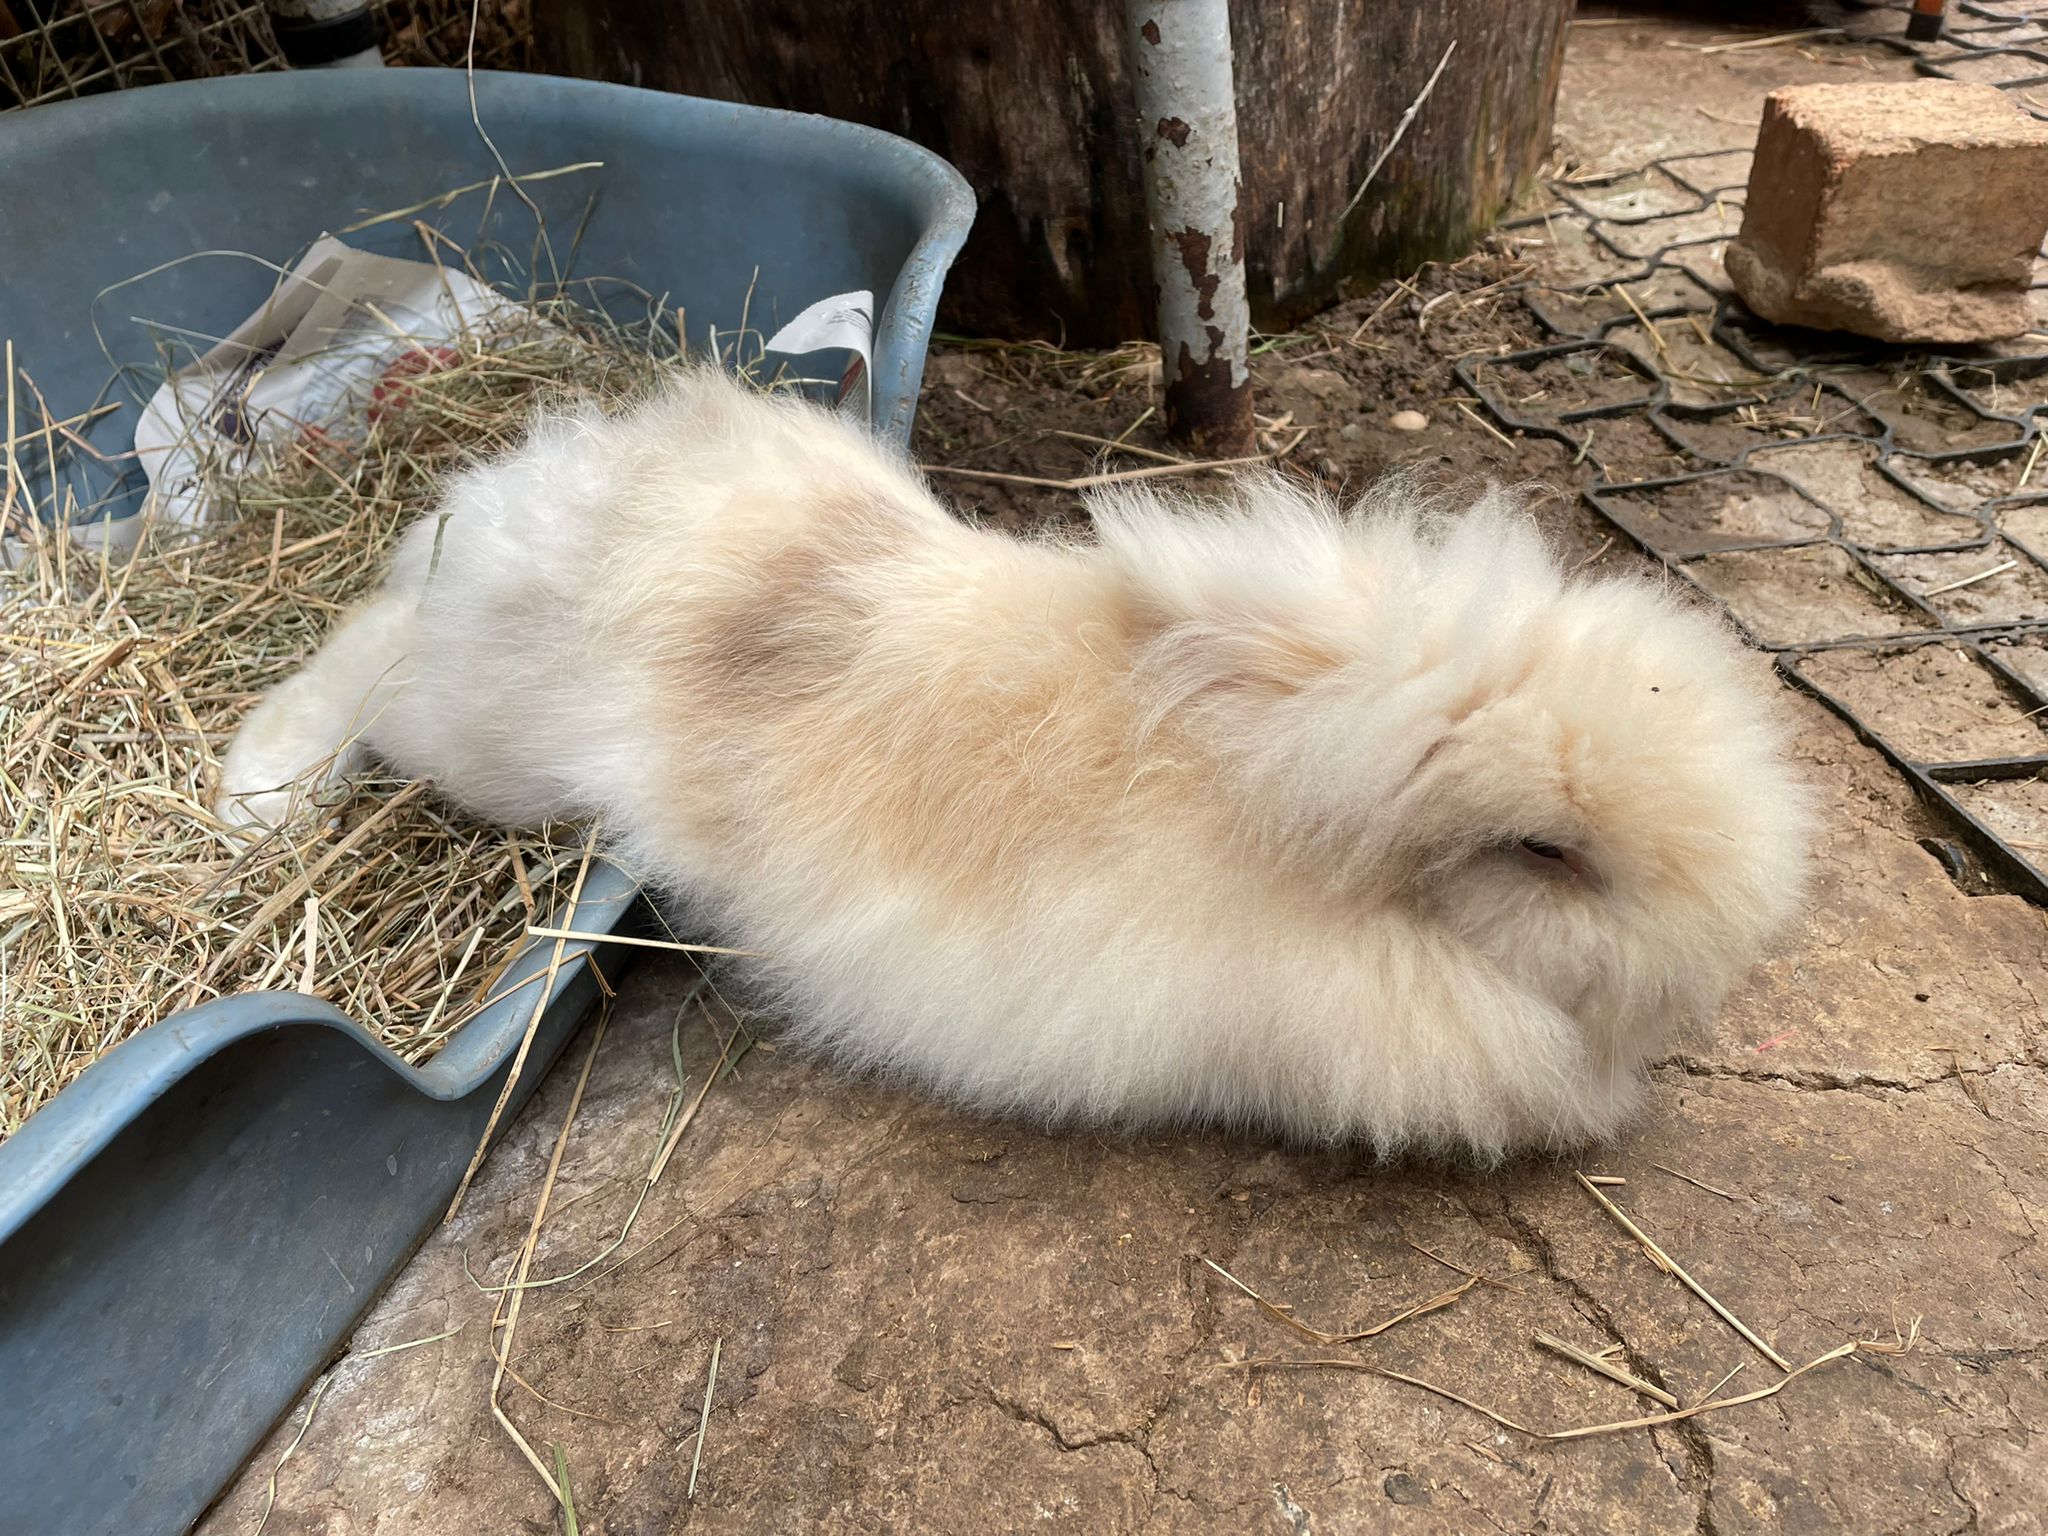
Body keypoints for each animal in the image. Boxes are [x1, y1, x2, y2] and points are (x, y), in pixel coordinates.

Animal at [216, 365, 1813, 1159]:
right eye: (1551, 852)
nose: (1726, 964)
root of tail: (555, 484)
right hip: (479, 735)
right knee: (370, 653)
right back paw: (253, 798)